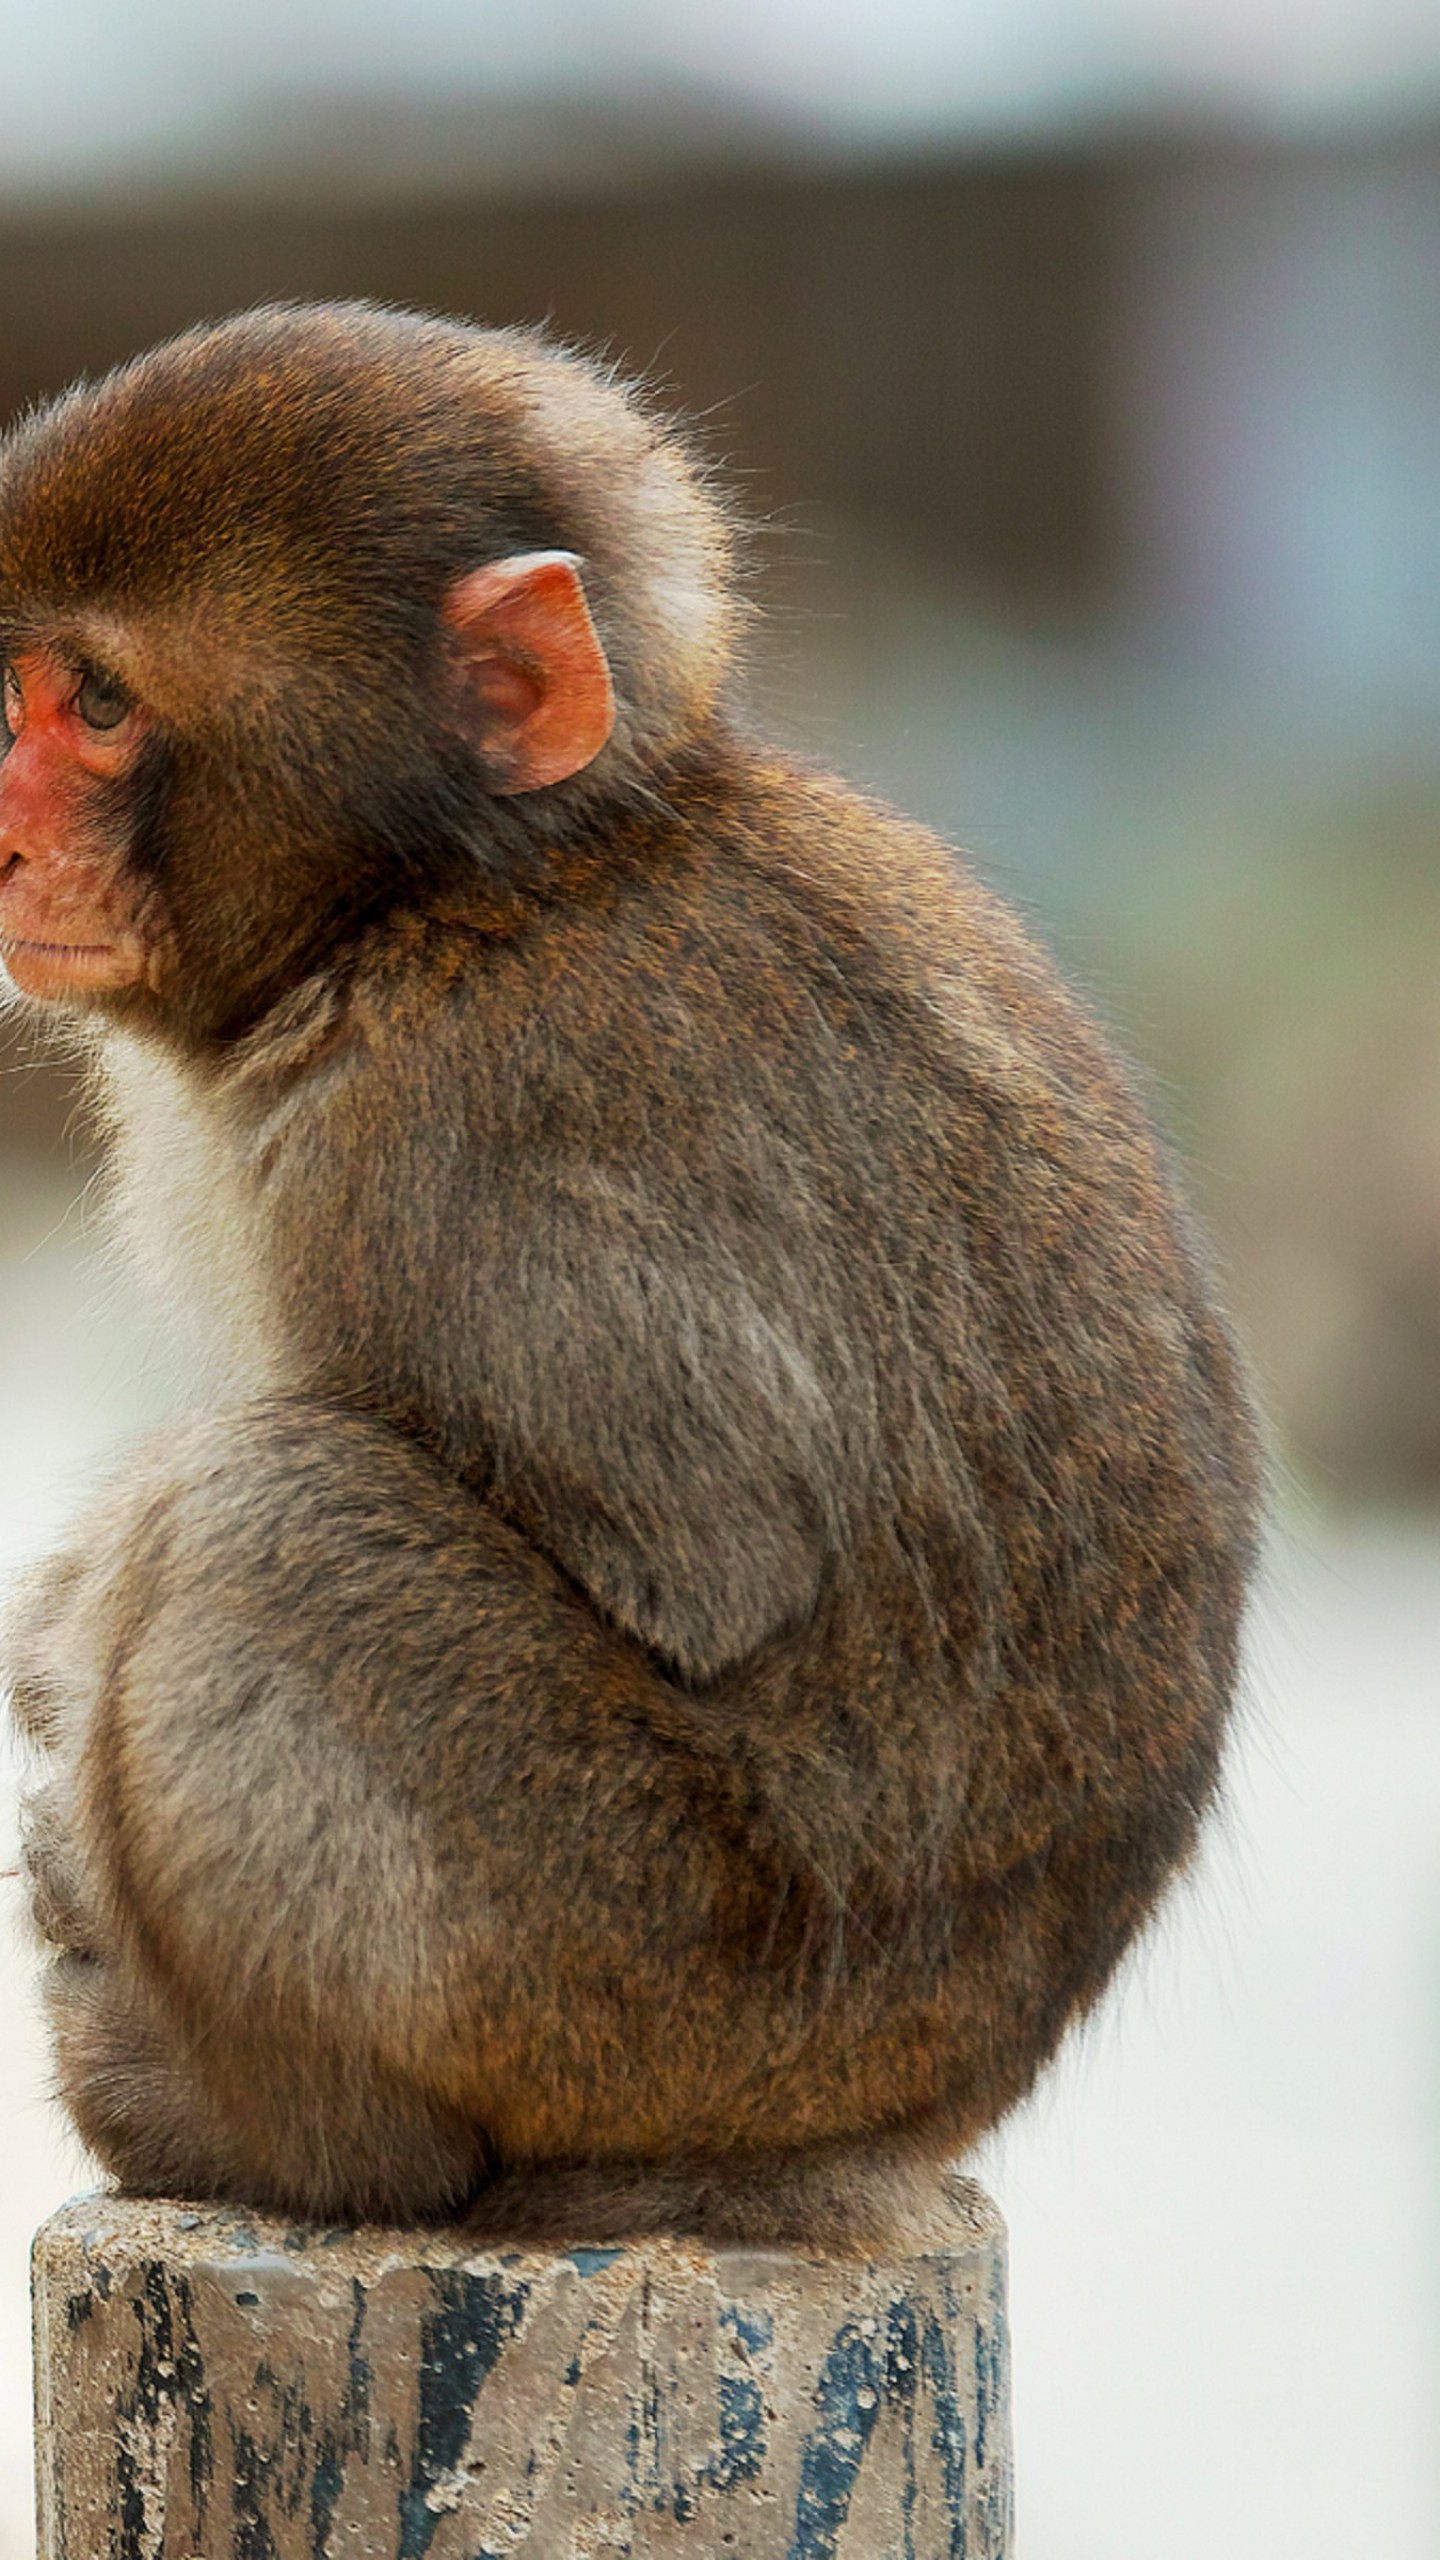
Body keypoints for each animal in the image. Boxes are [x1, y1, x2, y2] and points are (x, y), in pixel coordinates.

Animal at [0, 302, 1260, 2252]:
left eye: (103, 705)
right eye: (17, 688)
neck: (454, 901)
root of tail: (892, 2127)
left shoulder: (468, 1146)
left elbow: (700, 1570)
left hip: (646, 1992)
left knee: (268, 1519)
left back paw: (292, 2143)